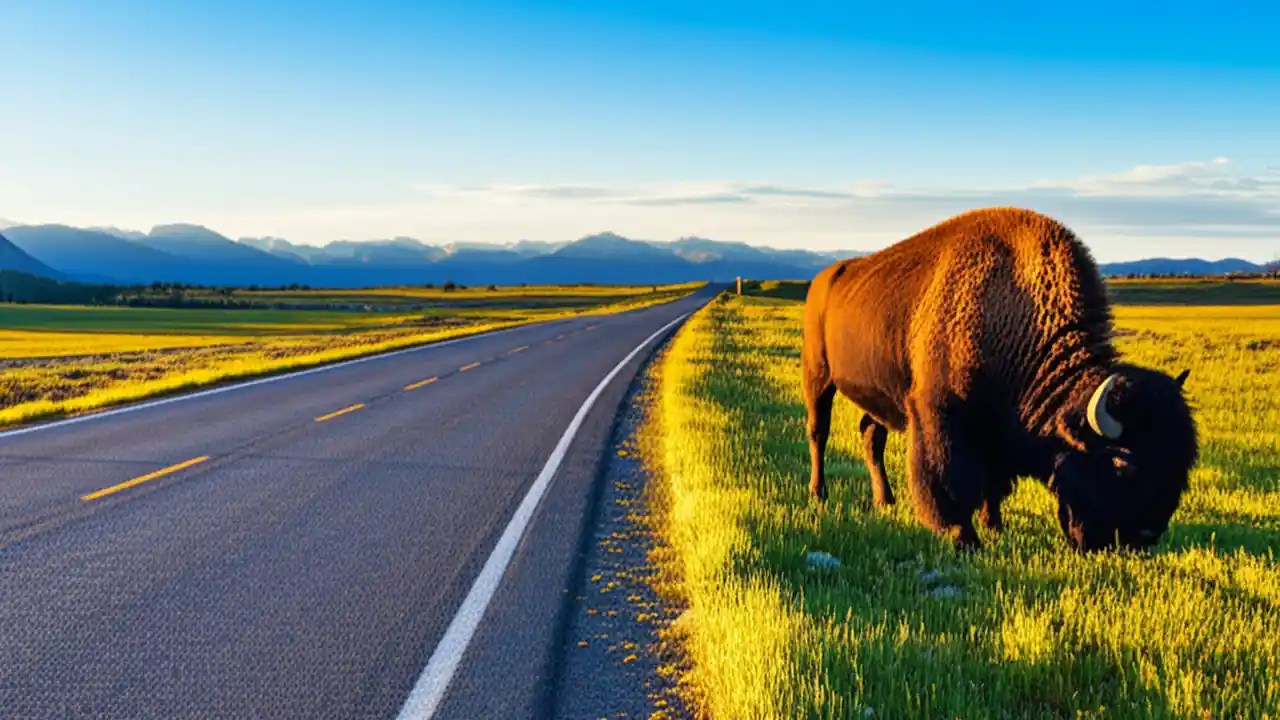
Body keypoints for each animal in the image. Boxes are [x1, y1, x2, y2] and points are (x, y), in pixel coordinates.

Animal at [803, 208, 1197, 552]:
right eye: (1120, 463)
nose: (1144, 536)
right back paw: (819, 493)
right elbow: (948, 480)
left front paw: (994, 526)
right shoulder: (938, 414)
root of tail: (823, 280)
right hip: (818, 377)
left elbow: (994, 485)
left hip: (878, 397)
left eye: (1182, 466)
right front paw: (963, 538)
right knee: (819, 431)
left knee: (871, 434)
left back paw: (885, 501)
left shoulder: (995, 430)